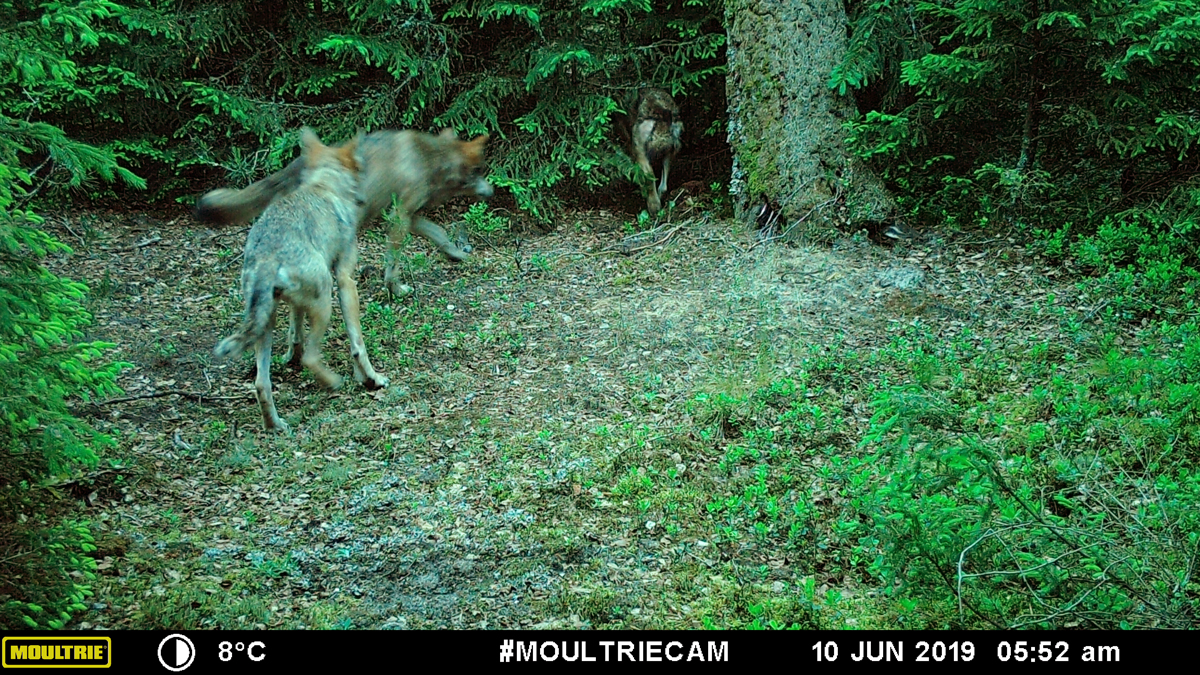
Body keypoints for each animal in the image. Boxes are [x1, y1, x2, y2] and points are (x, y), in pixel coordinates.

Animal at [195, 129, 493, 298]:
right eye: (481, 171)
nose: (492, 192)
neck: (432, 157)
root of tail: (300, 161)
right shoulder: (399, 215)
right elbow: (393, 263)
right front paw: (395, 289)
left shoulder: (409, 215)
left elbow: (440, 233)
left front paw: (456, 254)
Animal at [213, 128, 389, 432]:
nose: (364, 200)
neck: (324, 185)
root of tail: (268, 256)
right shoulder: (345, 280)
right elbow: (358, 344)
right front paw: (370, 379)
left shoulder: (296, 305)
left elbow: (295, 333)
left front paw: (290, 357)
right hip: (325, 301)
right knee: (312, 357)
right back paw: (332, 383)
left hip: (266, 323)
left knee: (261, 383)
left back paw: (275, 425)